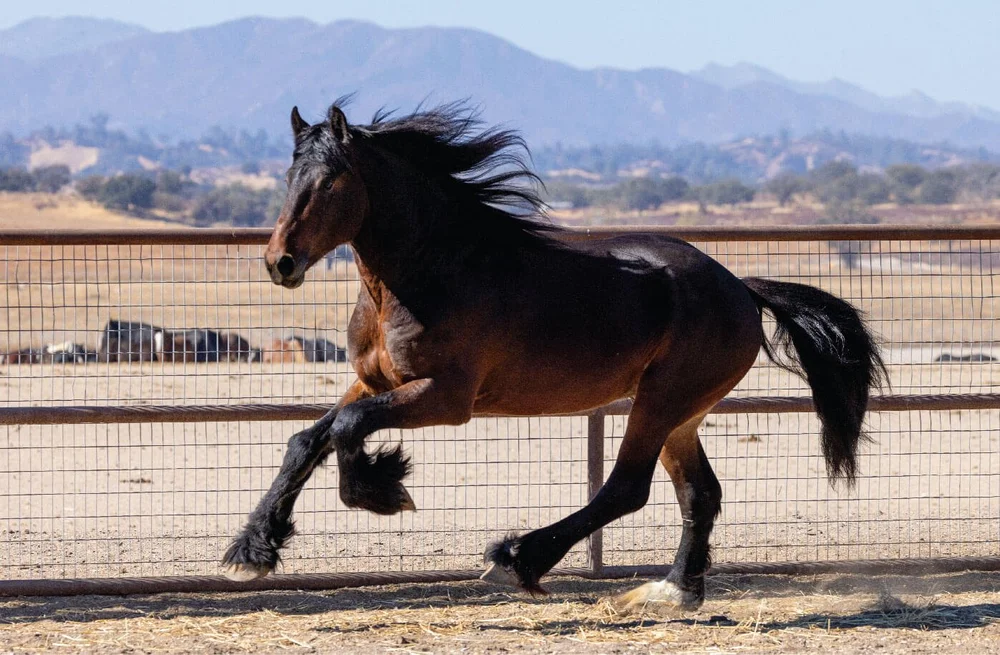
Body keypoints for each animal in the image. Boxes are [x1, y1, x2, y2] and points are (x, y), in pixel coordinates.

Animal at [222, 101, 886, 611]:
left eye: (330, 182)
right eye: (288, 179)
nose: (279, 263)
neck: (425, 275)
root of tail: (743, 290)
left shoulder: (447, 397)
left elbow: (348, 430)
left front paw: (383, 491)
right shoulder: (371, 381)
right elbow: (309, 439)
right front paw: (251, 551)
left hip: (661, 399)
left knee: (626, 488)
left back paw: (518, 559)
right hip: (684, 413)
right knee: (700, 494)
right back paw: (672, 592)